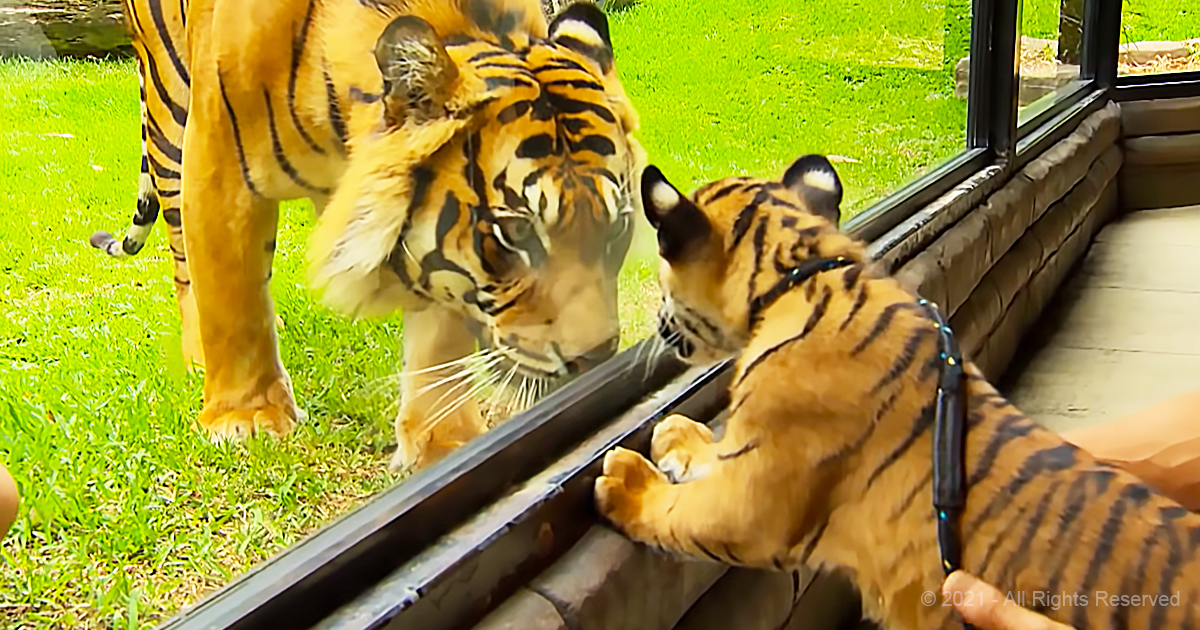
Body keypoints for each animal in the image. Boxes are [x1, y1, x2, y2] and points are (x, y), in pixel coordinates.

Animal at [87, 0, 645, 473]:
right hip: (168, 117)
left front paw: (443, 442)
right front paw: (246, 419)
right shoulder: (218, 159)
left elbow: (441, 334)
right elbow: (232, 298)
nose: (596, 358)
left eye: (616, 227)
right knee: (185, 258)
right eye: (516, 232)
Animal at [593, 155, 1200, 629]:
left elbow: (679, 513)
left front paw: (625, 482)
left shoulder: (751, 504)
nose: (656, 322)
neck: (800, 271)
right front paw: (676, 432)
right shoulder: (751, 445)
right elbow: (711, 449)